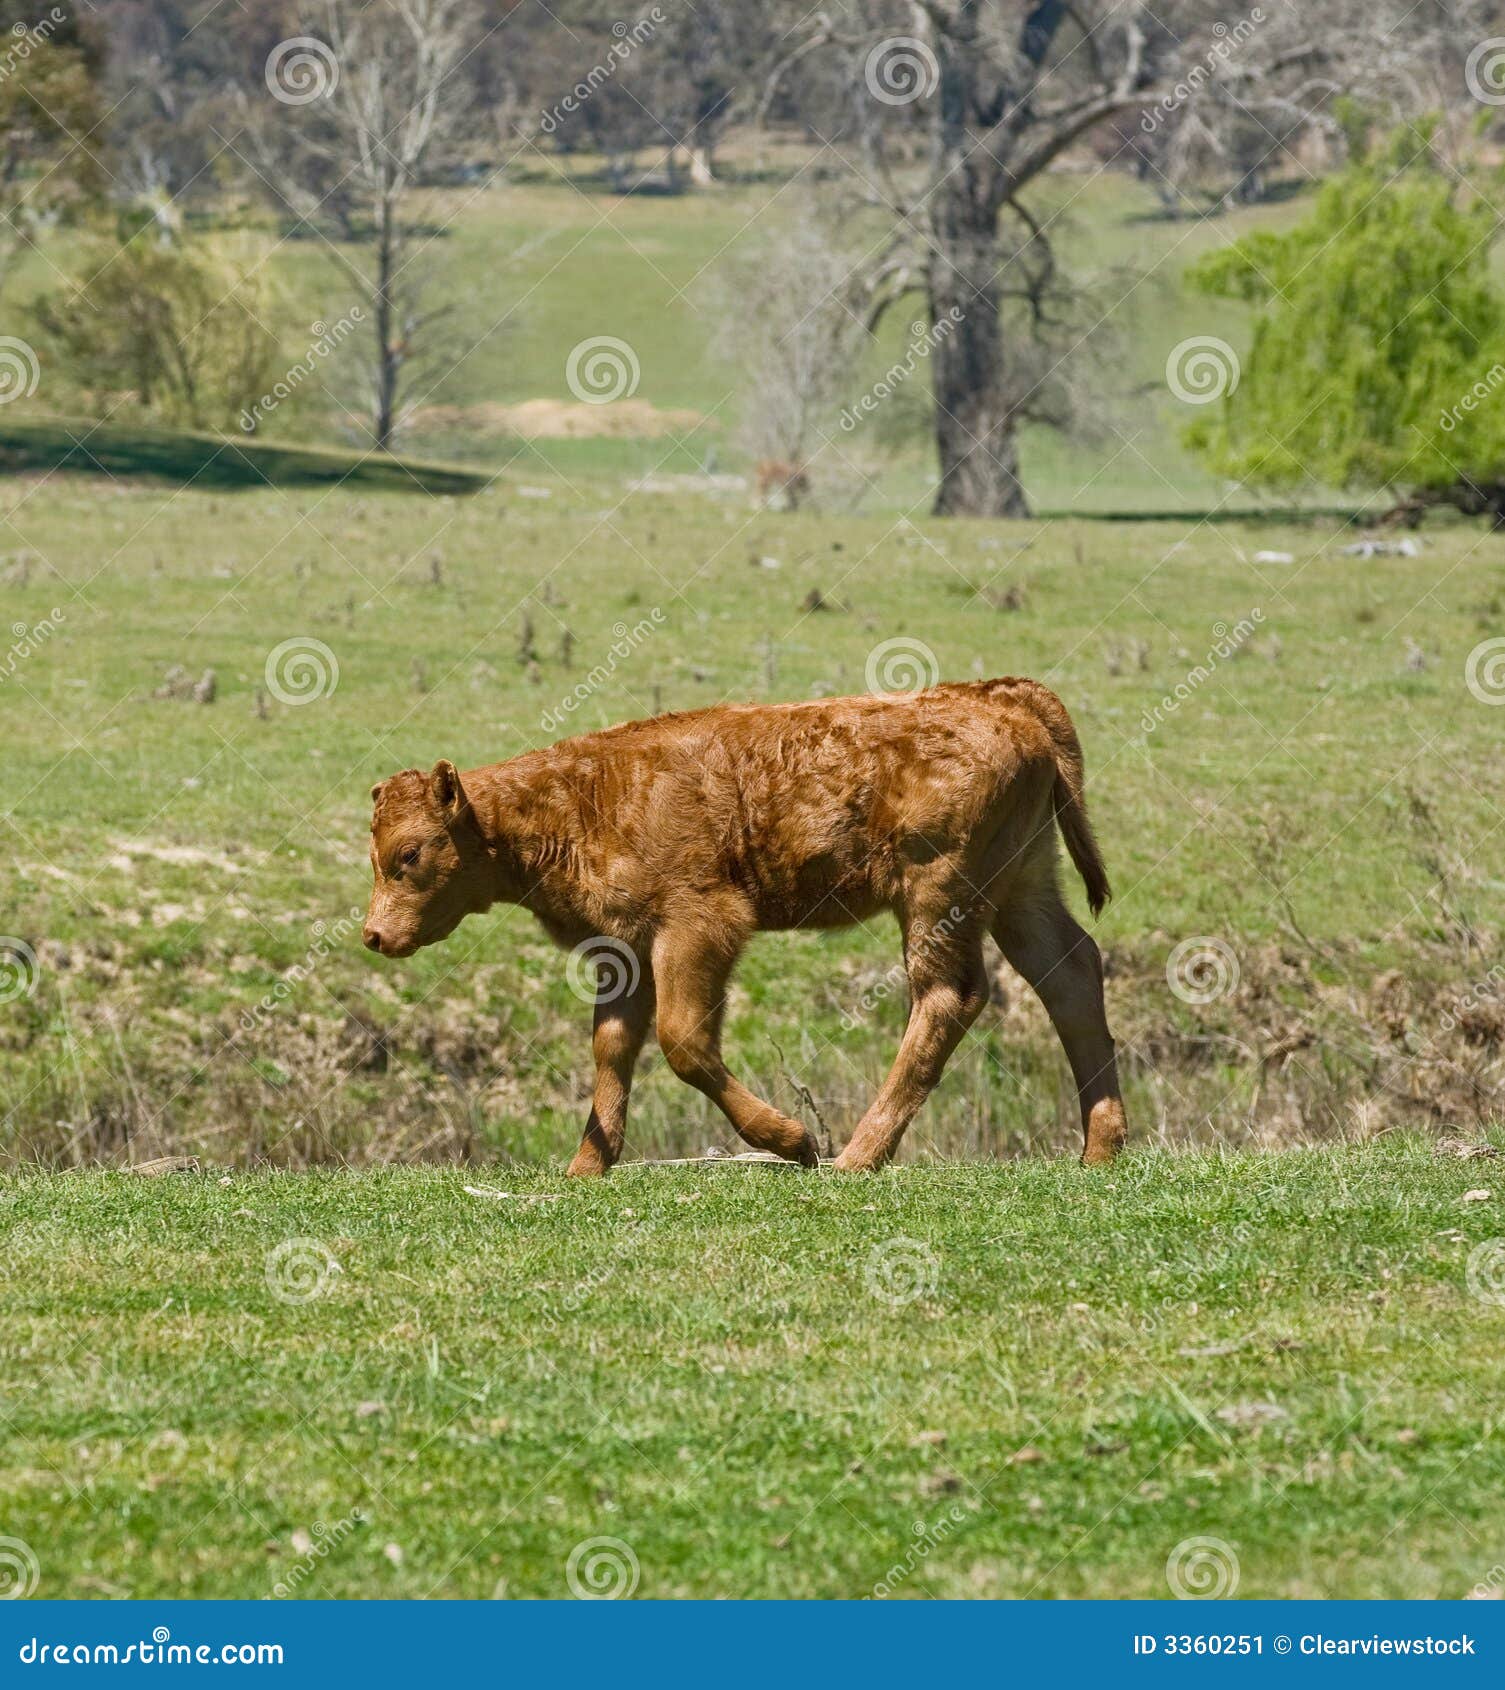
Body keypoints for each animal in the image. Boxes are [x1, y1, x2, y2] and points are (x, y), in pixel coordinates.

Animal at [363, 677, 1128, 1176]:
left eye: (410, 853)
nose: (373, 935)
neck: (576, 800)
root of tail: (996, 699)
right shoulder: (623, 953)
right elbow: (611, 1049)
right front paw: (585, 1167)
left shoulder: (699, 927)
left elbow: (682, 1042)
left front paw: (794, 1141)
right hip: (1022, 888)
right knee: (1070, 973)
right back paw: (1098, 1149)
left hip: (938, 898)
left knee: (950, 996)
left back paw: (856, 1156)